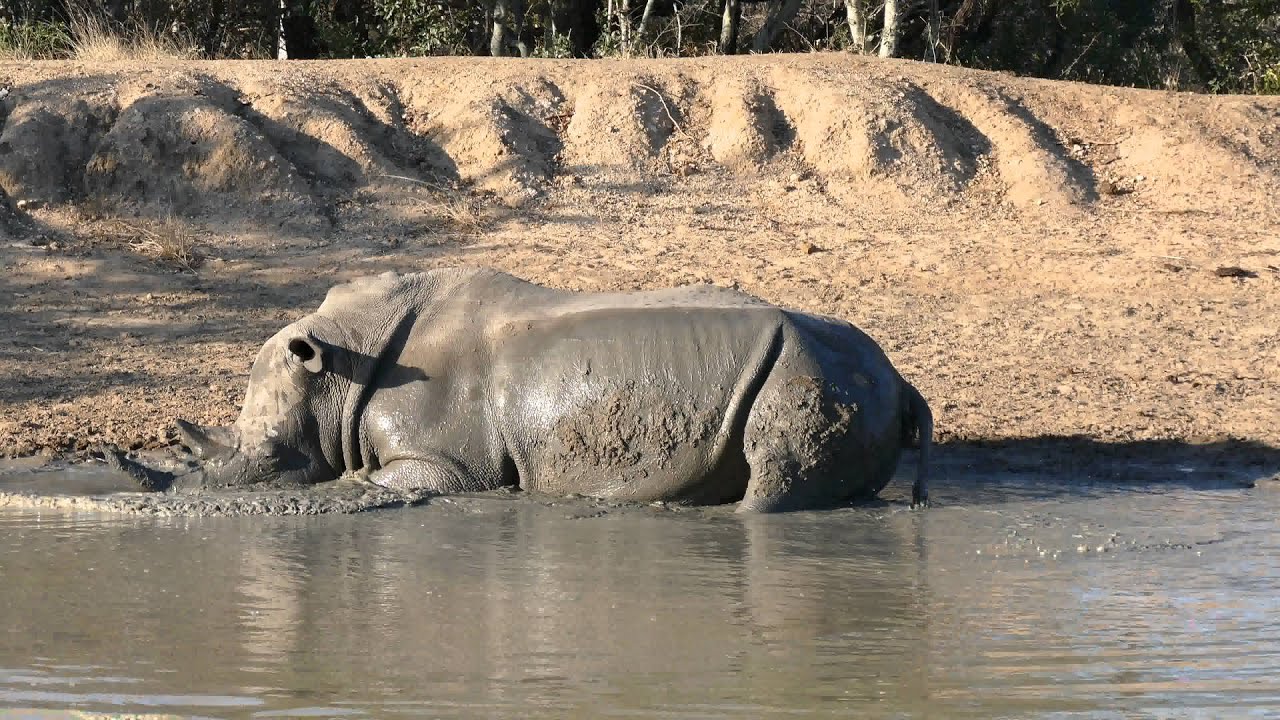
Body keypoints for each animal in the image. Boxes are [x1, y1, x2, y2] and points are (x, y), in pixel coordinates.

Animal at [111, 268, 933, 512]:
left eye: (267, 456)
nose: (182, 491)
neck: (339, 367)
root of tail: (903, 381)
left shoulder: (447, 464)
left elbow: (374, 479)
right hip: (846, 376)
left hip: (808, 371)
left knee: (770, 484)